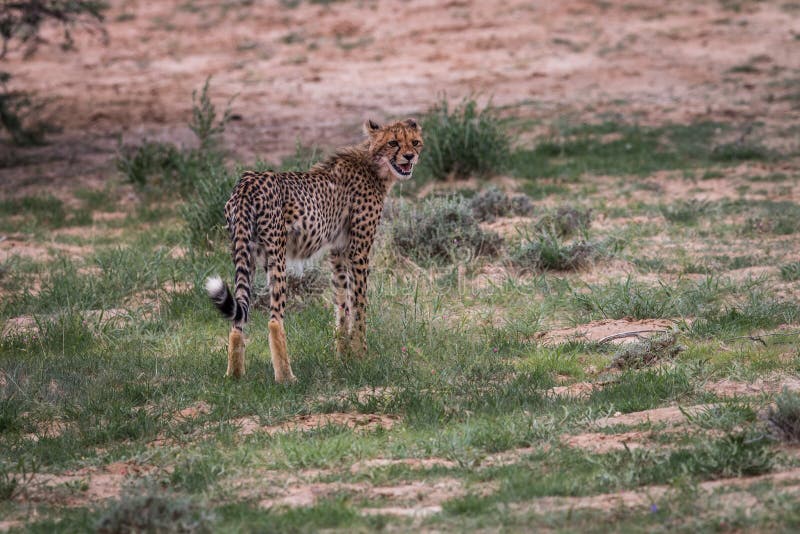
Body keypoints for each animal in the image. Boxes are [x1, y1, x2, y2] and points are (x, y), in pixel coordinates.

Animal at [205, 118, 423, 383]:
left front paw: (344, 356)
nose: (410, 156)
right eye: (393, 142)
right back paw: (286, 378)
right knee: (274, 320)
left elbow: (342, 305)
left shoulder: (338, 251)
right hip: (276, 256)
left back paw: (235, 377)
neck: (373, 164)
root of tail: (247, 182)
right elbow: (359, 305)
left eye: (414, 142)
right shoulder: (359, 251)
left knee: (239, 318)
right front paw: (361, 355)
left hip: (245, 254)